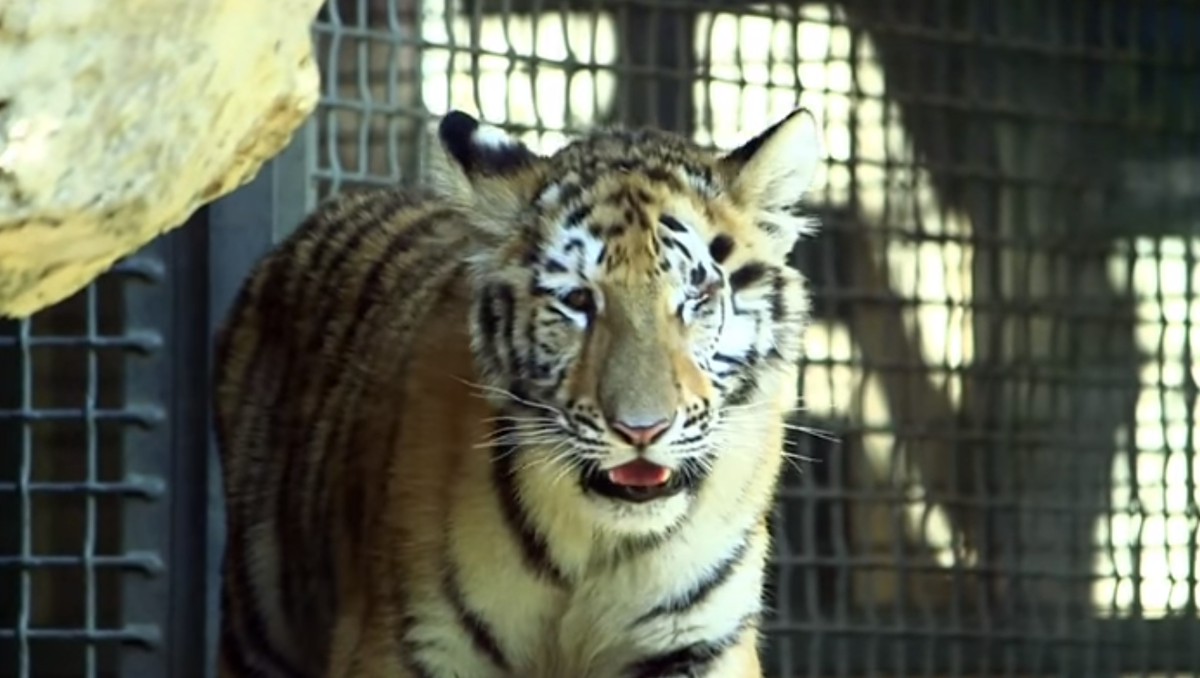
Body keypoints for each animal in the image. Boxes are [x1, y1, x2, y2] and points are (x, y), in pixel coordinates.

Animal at [212, 106, 823, 678]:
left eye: (696, 297)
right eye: (578, 301)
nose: (641, 429)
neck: (600, 545)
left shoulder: (699, 642)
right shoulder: (409, 641)